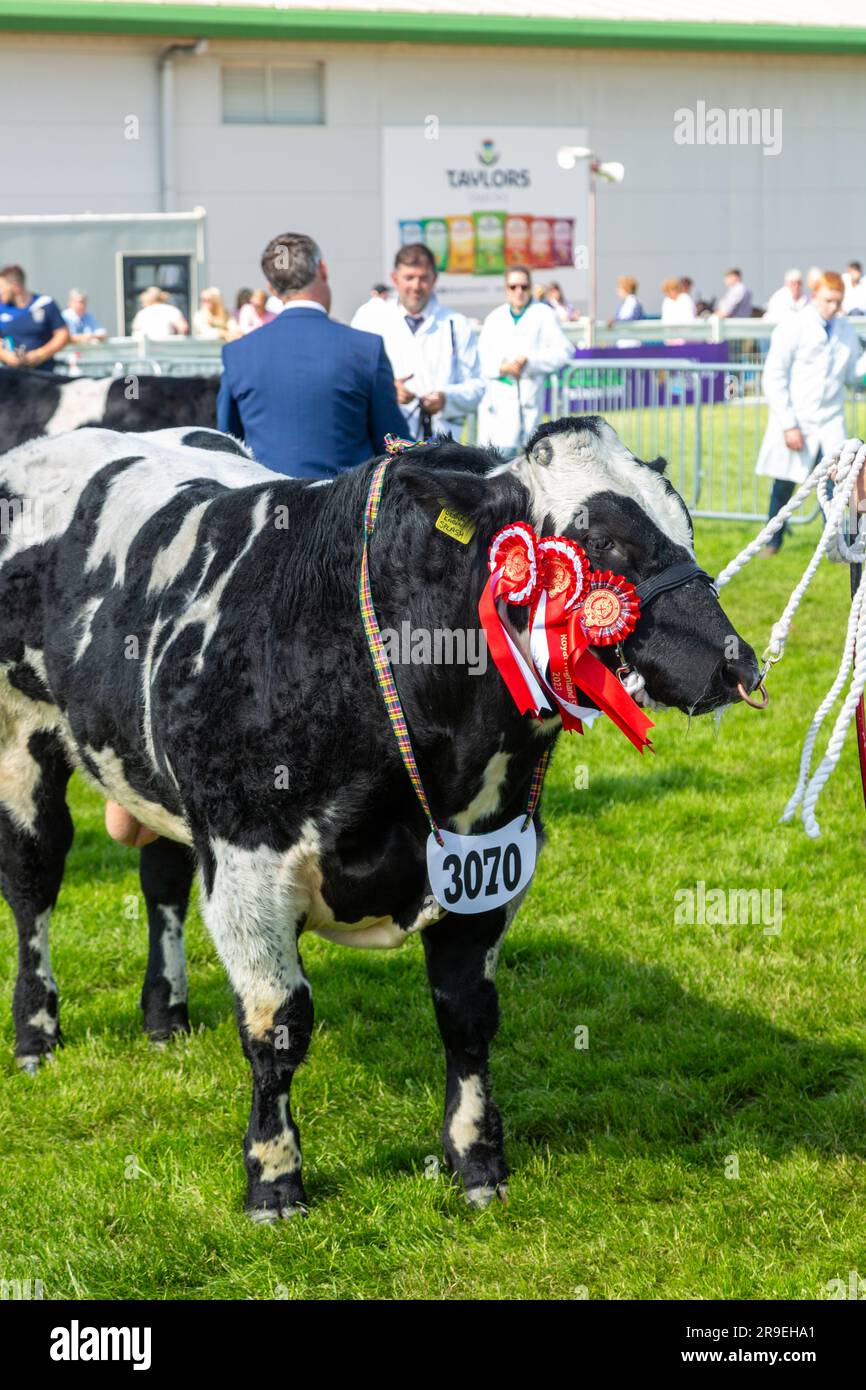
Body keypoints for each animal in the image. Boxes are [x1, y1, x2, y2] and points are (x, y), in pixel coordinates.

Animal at [0, 415, 759, 1220]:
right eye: (604, 540)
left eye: (685, 522)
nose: (737, 664)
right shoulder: (246, 863)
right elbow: (277, 1026)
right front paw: (273, 1180)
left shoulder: (488, 863)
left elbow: (467, 1015)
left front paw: (477, 1162)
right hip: (21, 740)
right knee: (33, 883)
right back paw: (37, 1035)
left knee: (163, 881)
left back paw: (164, 1018)